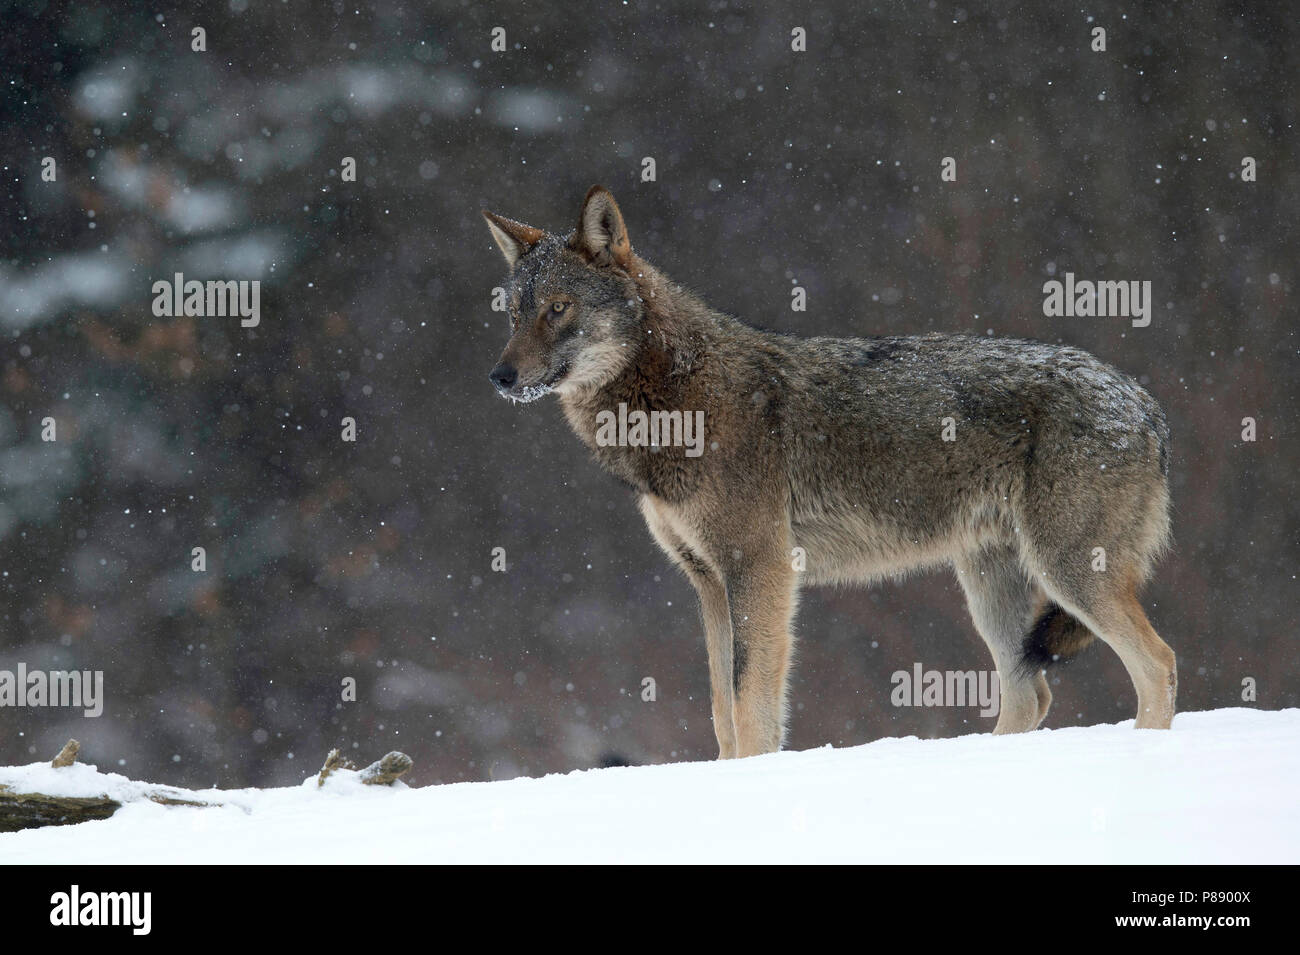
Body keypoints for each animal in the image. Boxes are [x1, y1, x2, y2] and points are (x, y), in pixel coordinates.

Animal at [483, 186, 1176, 759]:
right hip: (991, 587)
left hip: (1068, 573)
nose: (499, 376)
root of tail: (1146, 403)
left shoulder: (760, 570)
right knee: (1030, 696)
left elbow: (750, 707)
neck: (676, 399)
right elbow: (720, 711)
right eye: (512, 314)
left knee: (1159, 664)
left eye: (559, 309)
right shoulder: (708, 582)